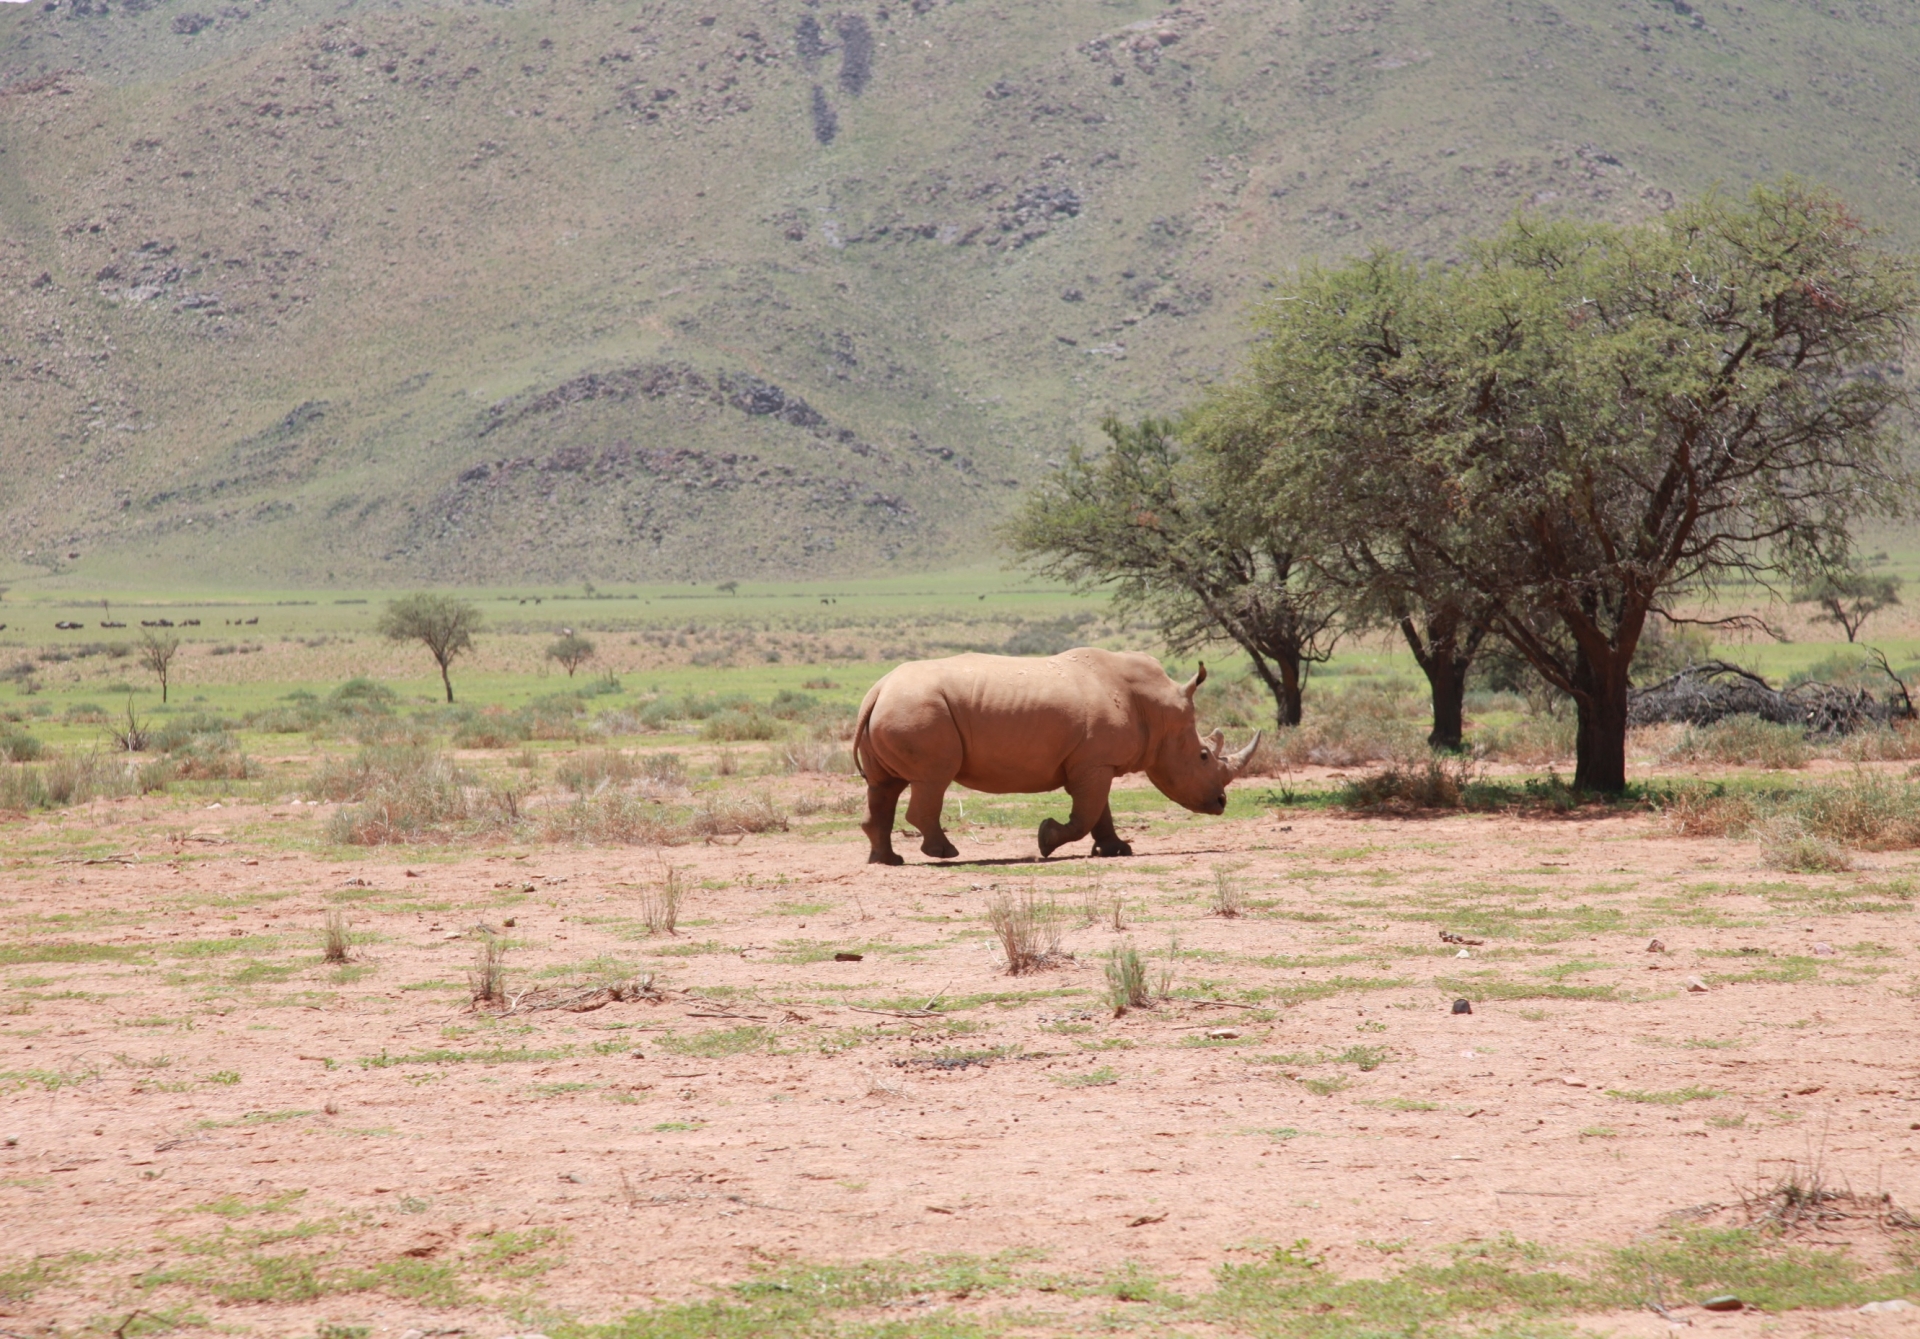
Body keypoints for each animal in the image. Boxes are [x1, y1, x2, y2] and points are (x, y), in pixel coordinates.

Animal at [852, 648, 1260, 864]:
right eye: (1204, 755)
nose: (1222, 803)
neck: (1157, 708)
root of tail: (877, 689)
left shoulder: (1097, 762)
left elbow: (1100, 812)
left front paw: (1118, 850)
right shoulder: (1094, 763)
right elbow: (1085, 815)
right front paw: (1045, 841)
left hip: (897, 707)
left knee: (884, 786)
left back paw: (888, 860)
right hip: (917, 710)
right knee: (932, 780)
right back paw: (946, 852)